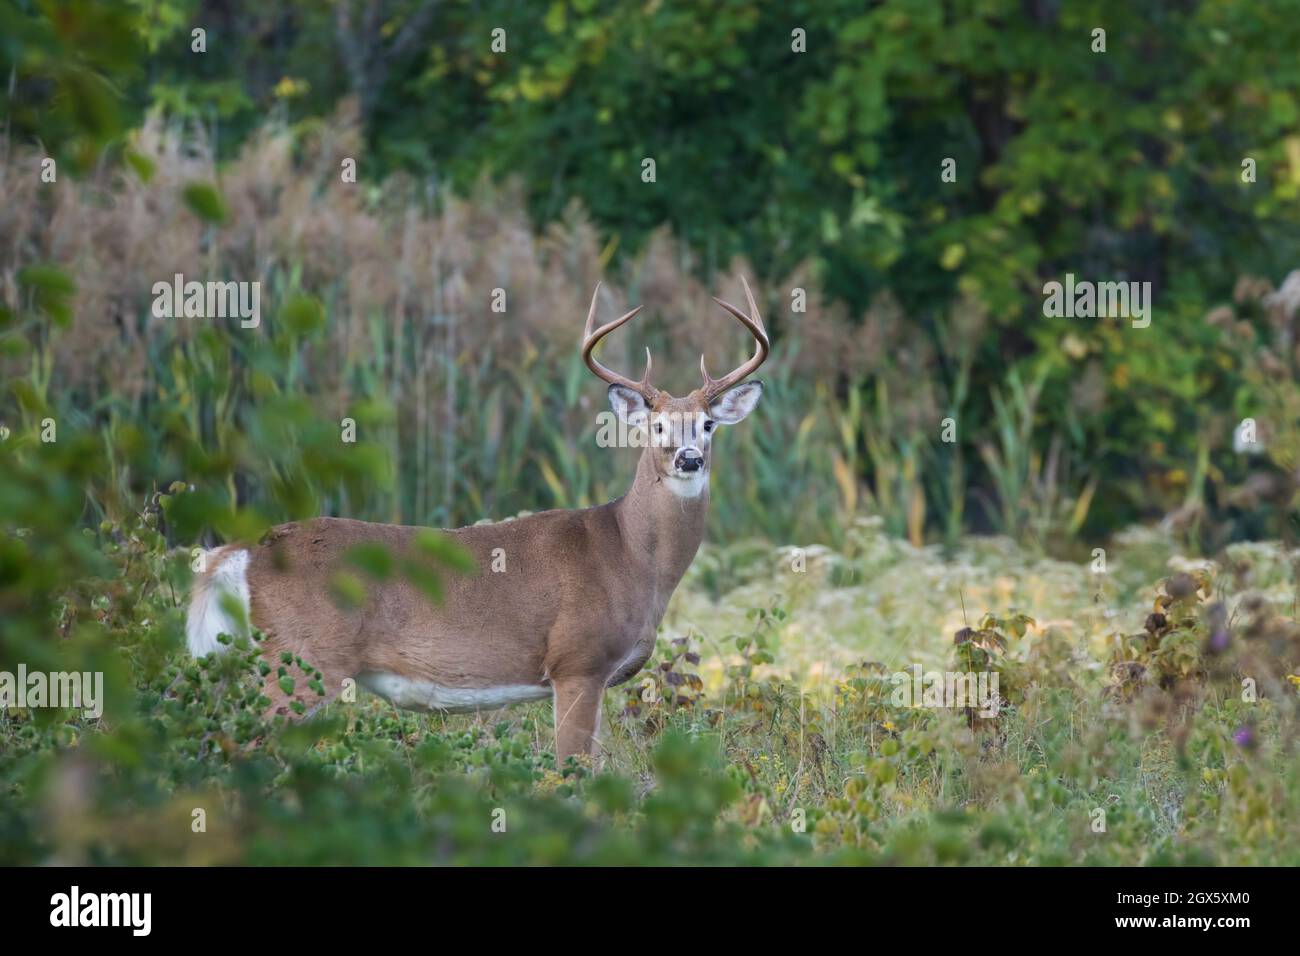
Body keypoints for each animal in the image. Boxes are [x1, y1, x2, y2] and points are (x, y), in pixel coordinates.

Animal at [186, 279, 768, 759]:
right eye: (657, 426)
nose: (688, 460)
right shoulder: (576, 662)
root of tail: (239, 552)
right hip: (301, 659)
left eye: (709, 425)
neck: (627, 555)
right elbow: (573, 770)